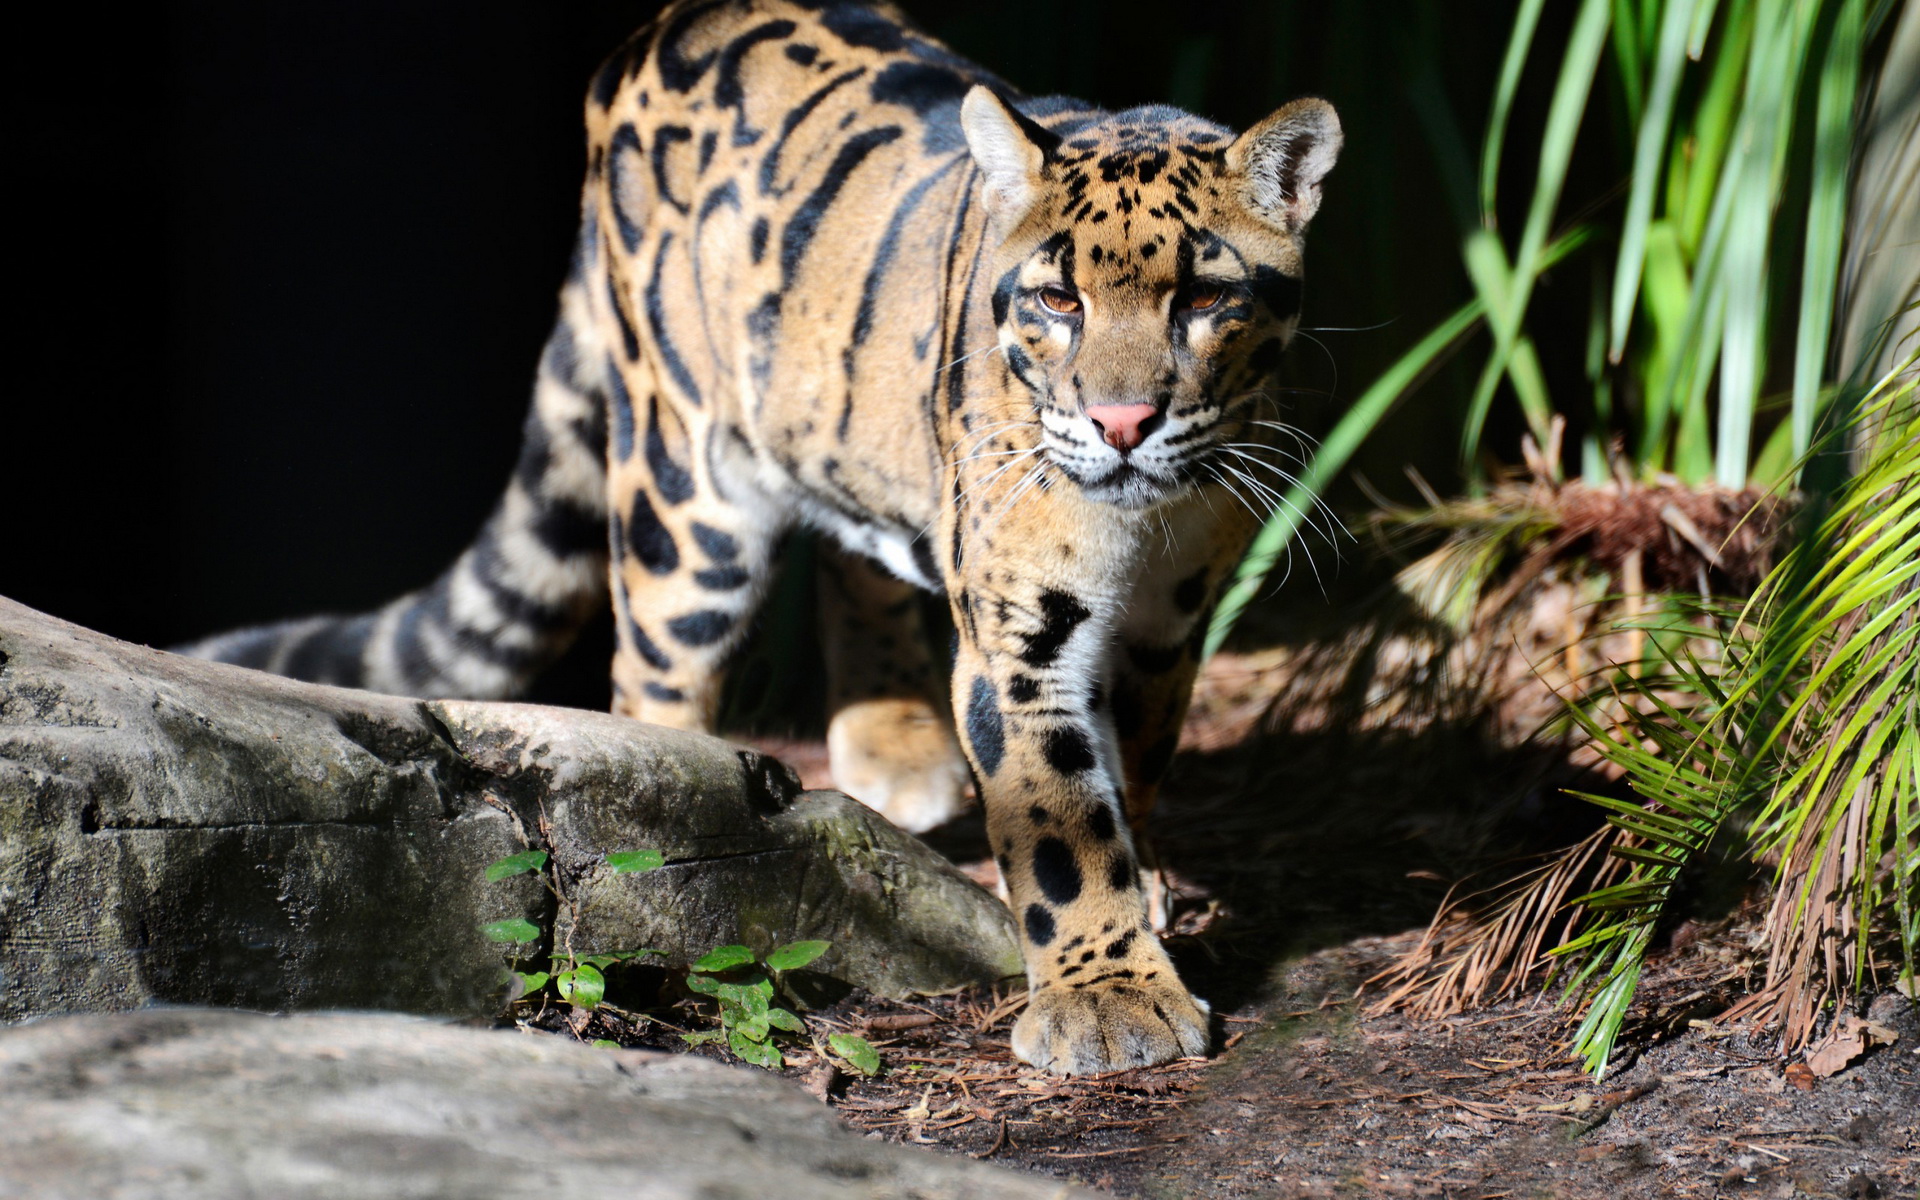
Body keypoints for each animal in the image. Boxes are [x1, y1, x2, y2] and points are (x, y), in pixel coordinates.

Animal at [180, 0, 1341, 1075]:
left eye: (1207, 297)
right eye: (1058, 299)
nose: (1122, 423)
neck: (1145, 524)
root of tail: (665, 23)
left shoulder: (1168, 628)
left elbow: (1128, 772)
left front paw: (1140, 911)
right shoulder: (1021, 636)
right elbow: (1059, 820)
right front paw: (1107, 1000)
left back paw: (893, 747)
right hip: (682, 489)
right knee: (652, 676)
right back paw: (671, 828)